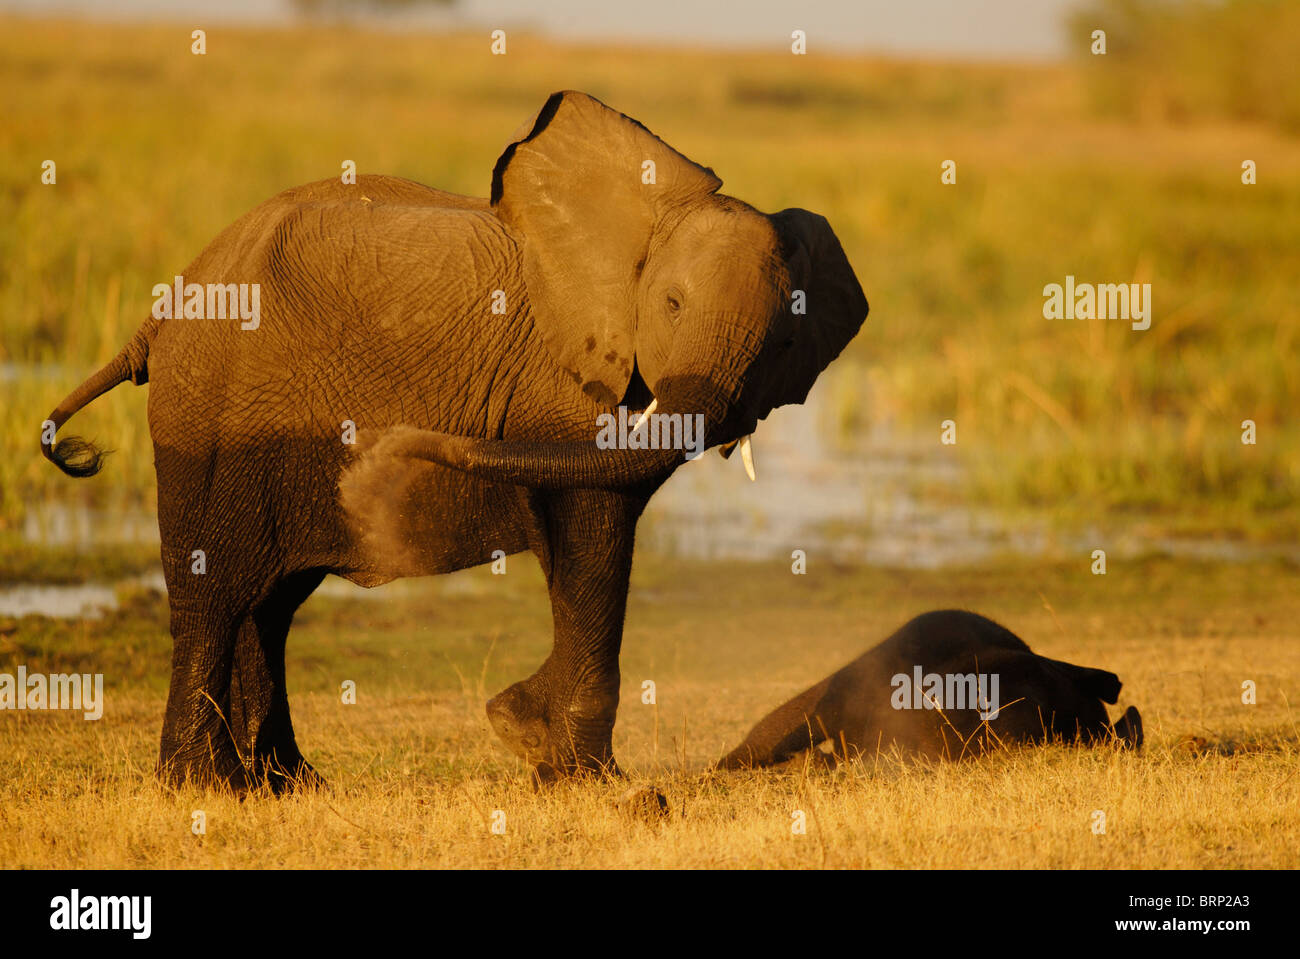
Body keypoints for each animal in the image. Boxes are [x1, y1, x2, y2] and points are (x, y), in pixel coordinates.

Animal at [41, 90, 869, 791]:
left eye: (785, 342)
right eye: (669, 303)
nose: (382, 456)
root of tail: (163, 308)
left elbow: (593, 537)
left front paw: (534, 742)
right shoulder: (560, 379)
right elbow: (593, 529)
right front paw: (574, 770)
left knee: (268, 605)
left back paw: (283, 784)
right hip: (205, 415)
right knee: (214, 594)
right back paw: (200, 786)